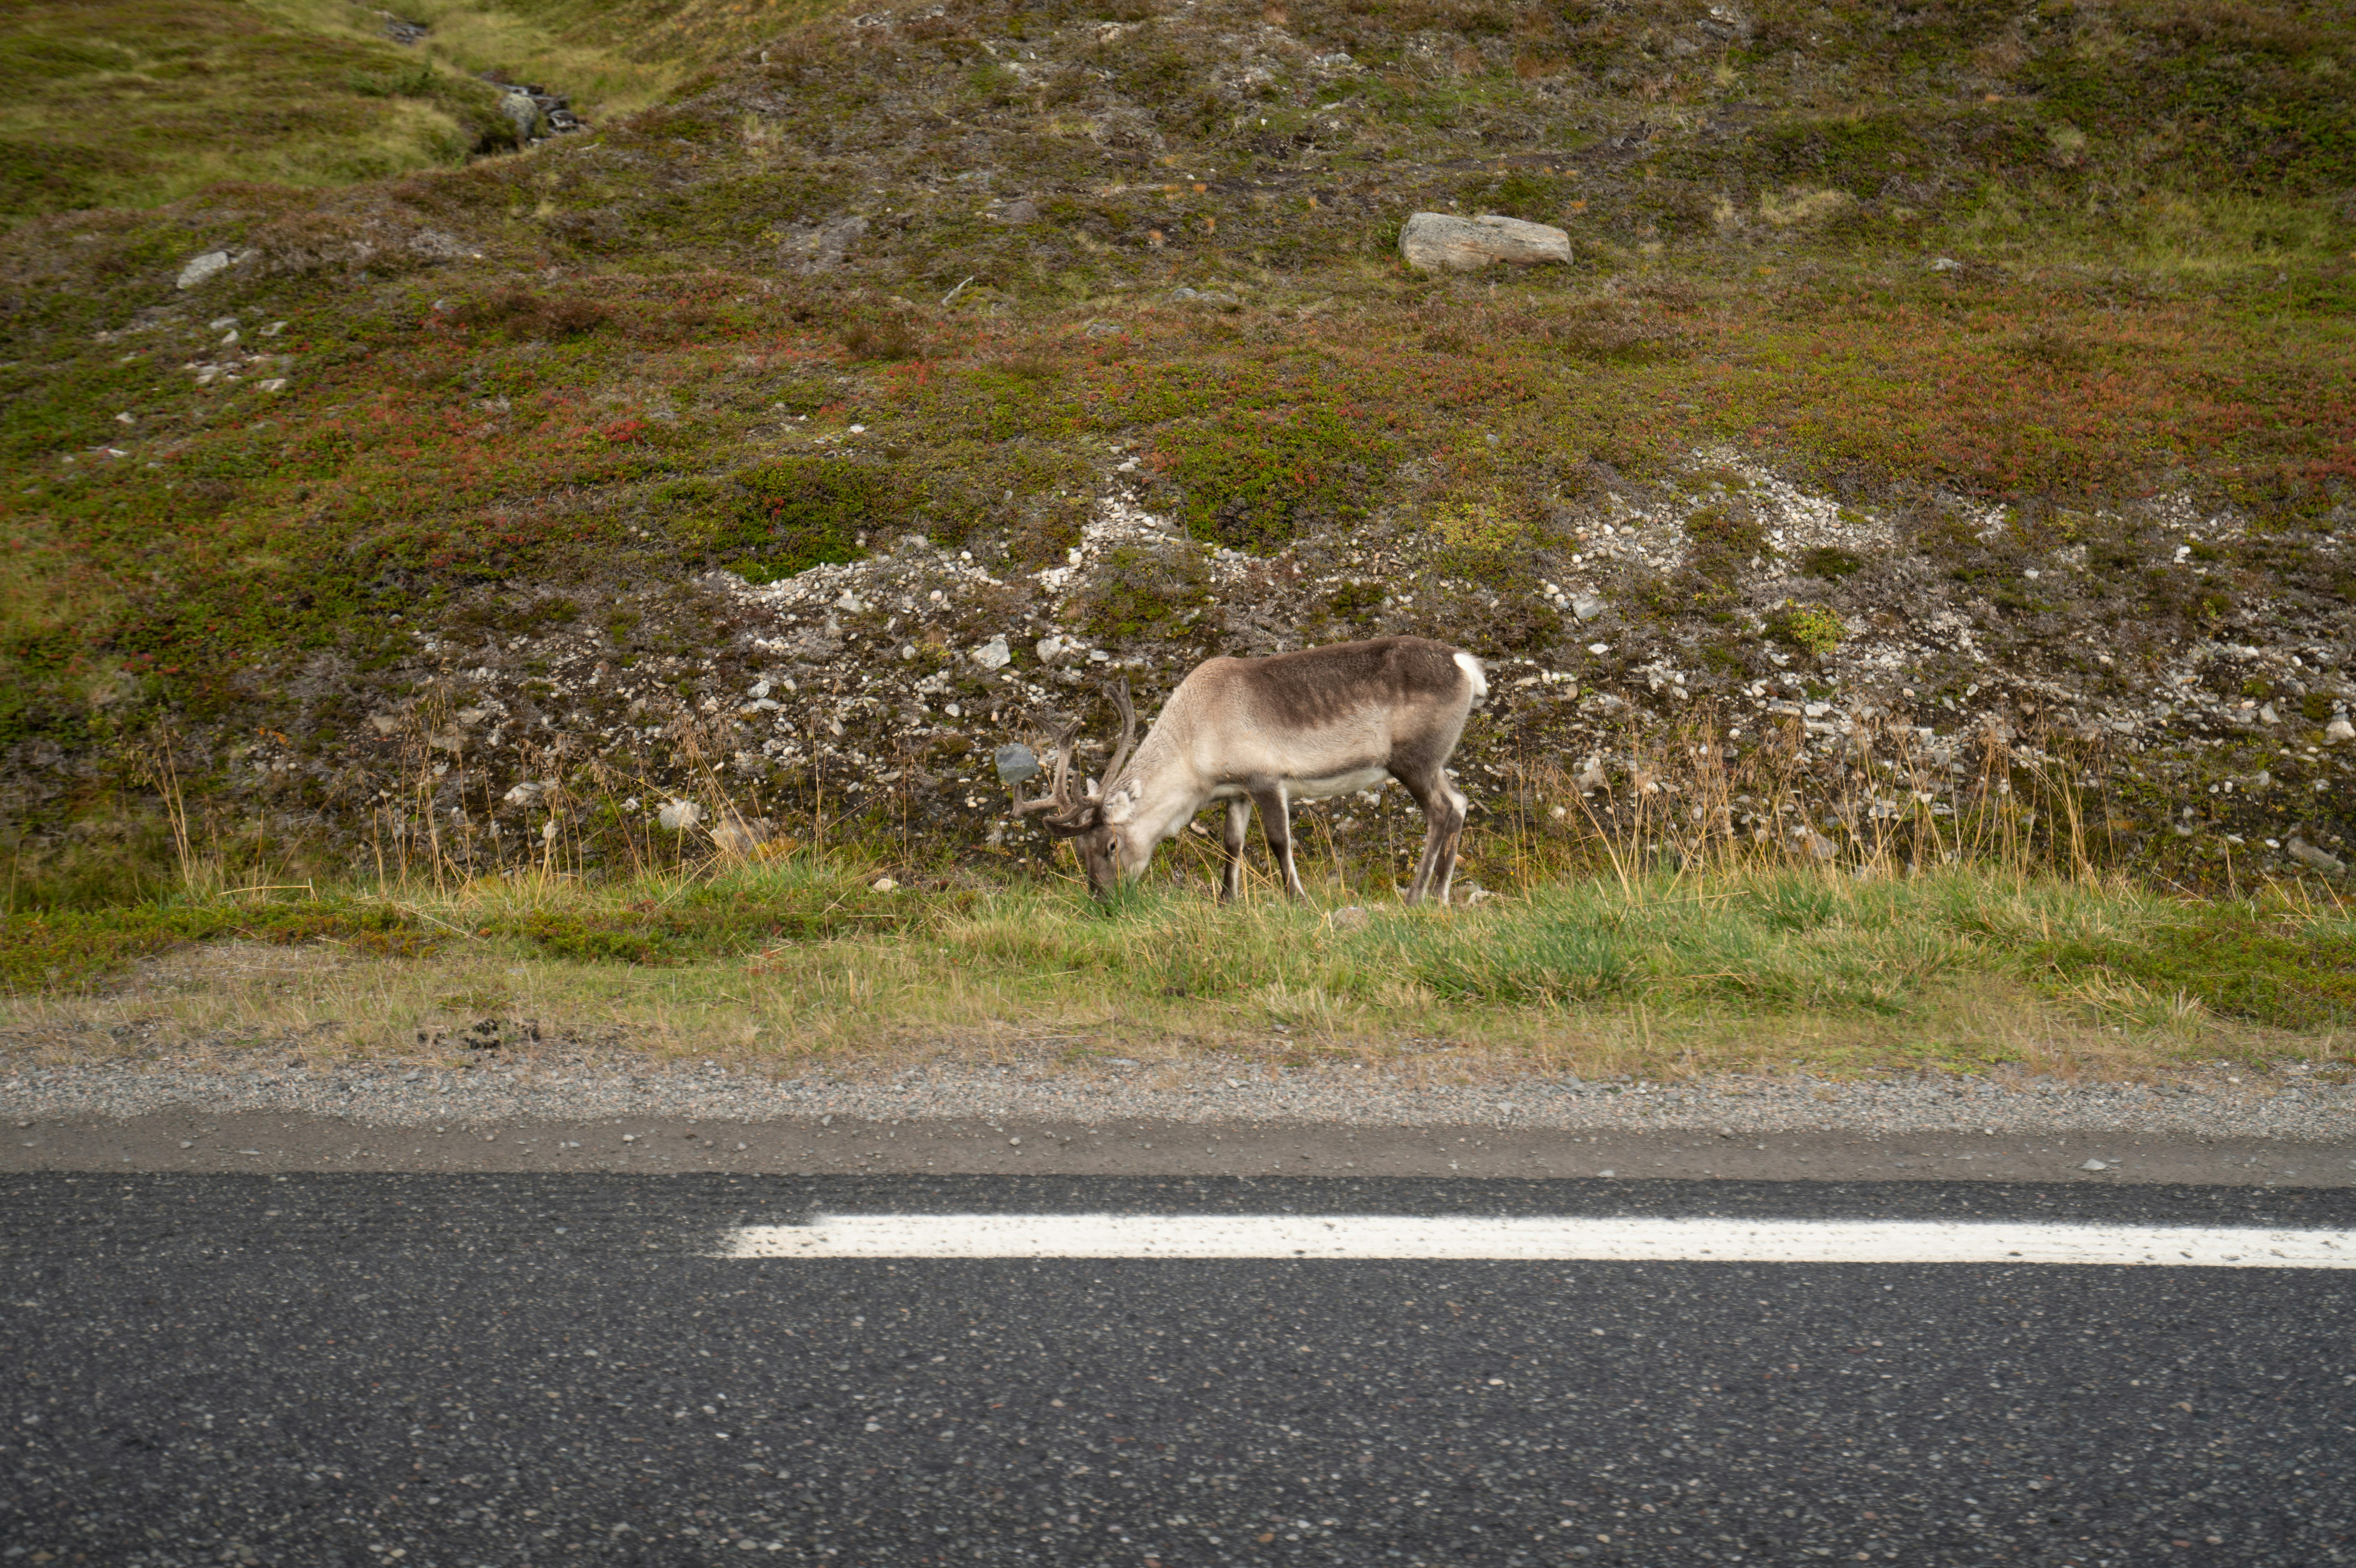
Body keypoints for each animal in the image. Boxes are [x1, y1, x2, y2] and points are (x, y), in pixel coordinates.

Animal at [1010, 636, 1489, 904]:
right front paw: (1227, 902)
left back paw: (1415, 896)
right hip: (1435, 761)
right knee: (1460, 802)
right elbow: (1232, 845)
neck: (1194, 743)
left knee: (1441, 811)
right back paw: (1442, 896)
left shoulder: (1267, 780)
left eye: (1110, 844)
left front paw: (1297, 900)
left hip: (1413, 760)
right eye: (1079, 851)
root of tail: (1467, 665)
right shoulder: (1236, 791)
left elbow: (1278, 841)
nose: (1103, 899)